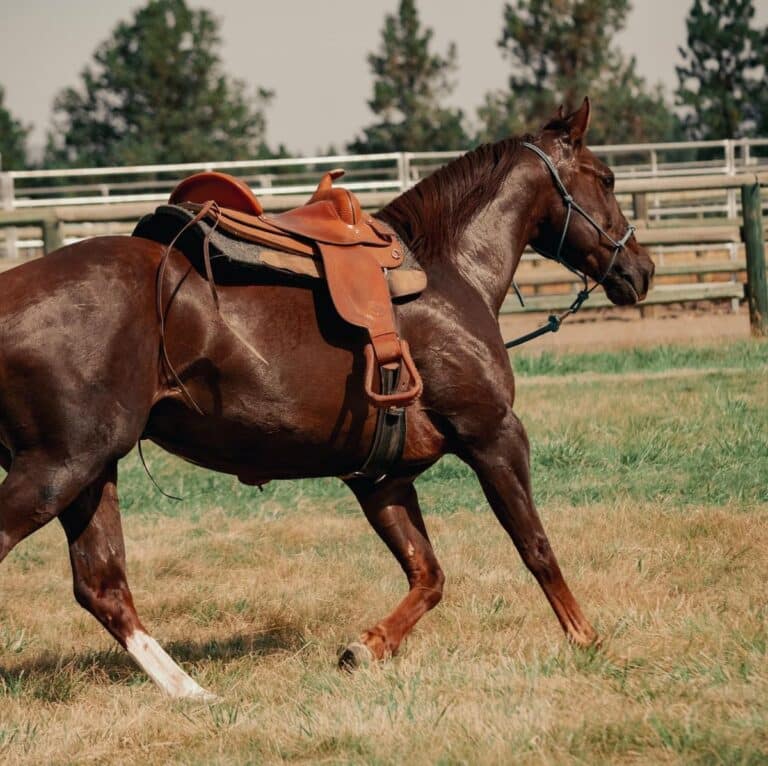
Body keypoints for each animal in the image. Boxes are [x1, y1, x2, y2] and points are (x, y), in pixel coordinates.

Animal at [0, 99, 654, 699]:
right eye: (606, 178)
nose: (642, 269)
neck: (447, 276)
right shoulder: (494, 434)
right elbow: (535, 546)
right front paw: (587, 640)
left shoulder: (380, 478)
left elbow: (428, 574)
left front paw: (367, 647)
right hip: (60, 467)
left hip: (91, 473)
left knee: (103, 587)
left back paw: (192, 693)